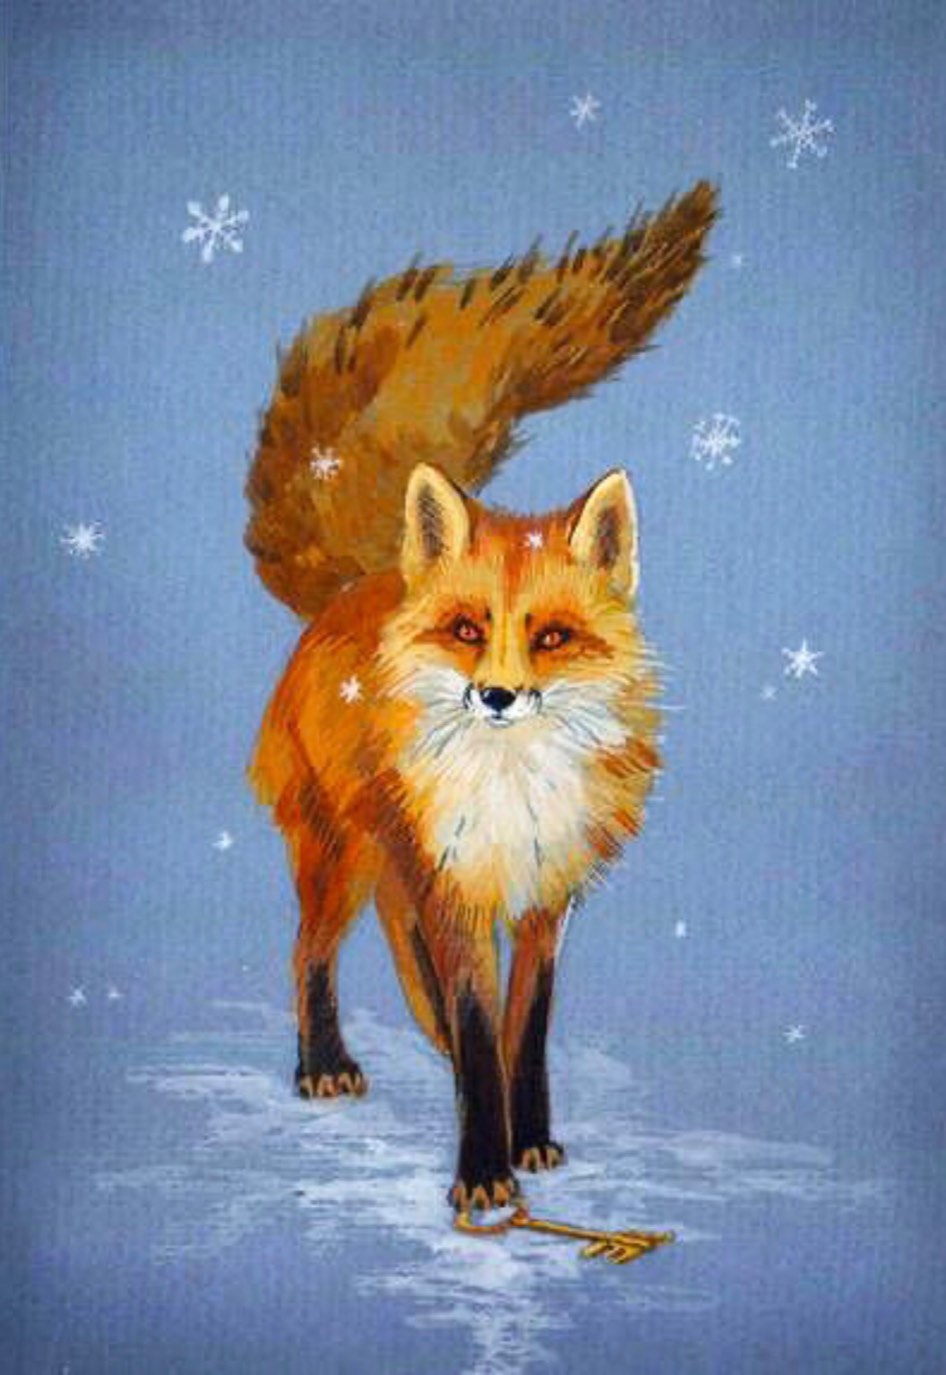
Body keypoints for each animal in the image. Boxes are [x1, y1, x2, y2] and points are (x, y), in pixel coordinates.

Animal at [245, 182, 717, 1213]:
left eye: (551, 636)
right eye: (469, 627)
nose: (497, 695)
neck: (512, 792)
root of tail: (359, 582)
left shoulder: (545, 899)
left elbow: (520, 1030)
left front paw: (526, 1135)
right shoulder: (453, 891)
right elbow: (471, 1020)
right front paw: (482, 1170)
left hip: (387, 871)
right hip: (340, 855)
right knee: (307, 952)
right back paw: (321, 1061)